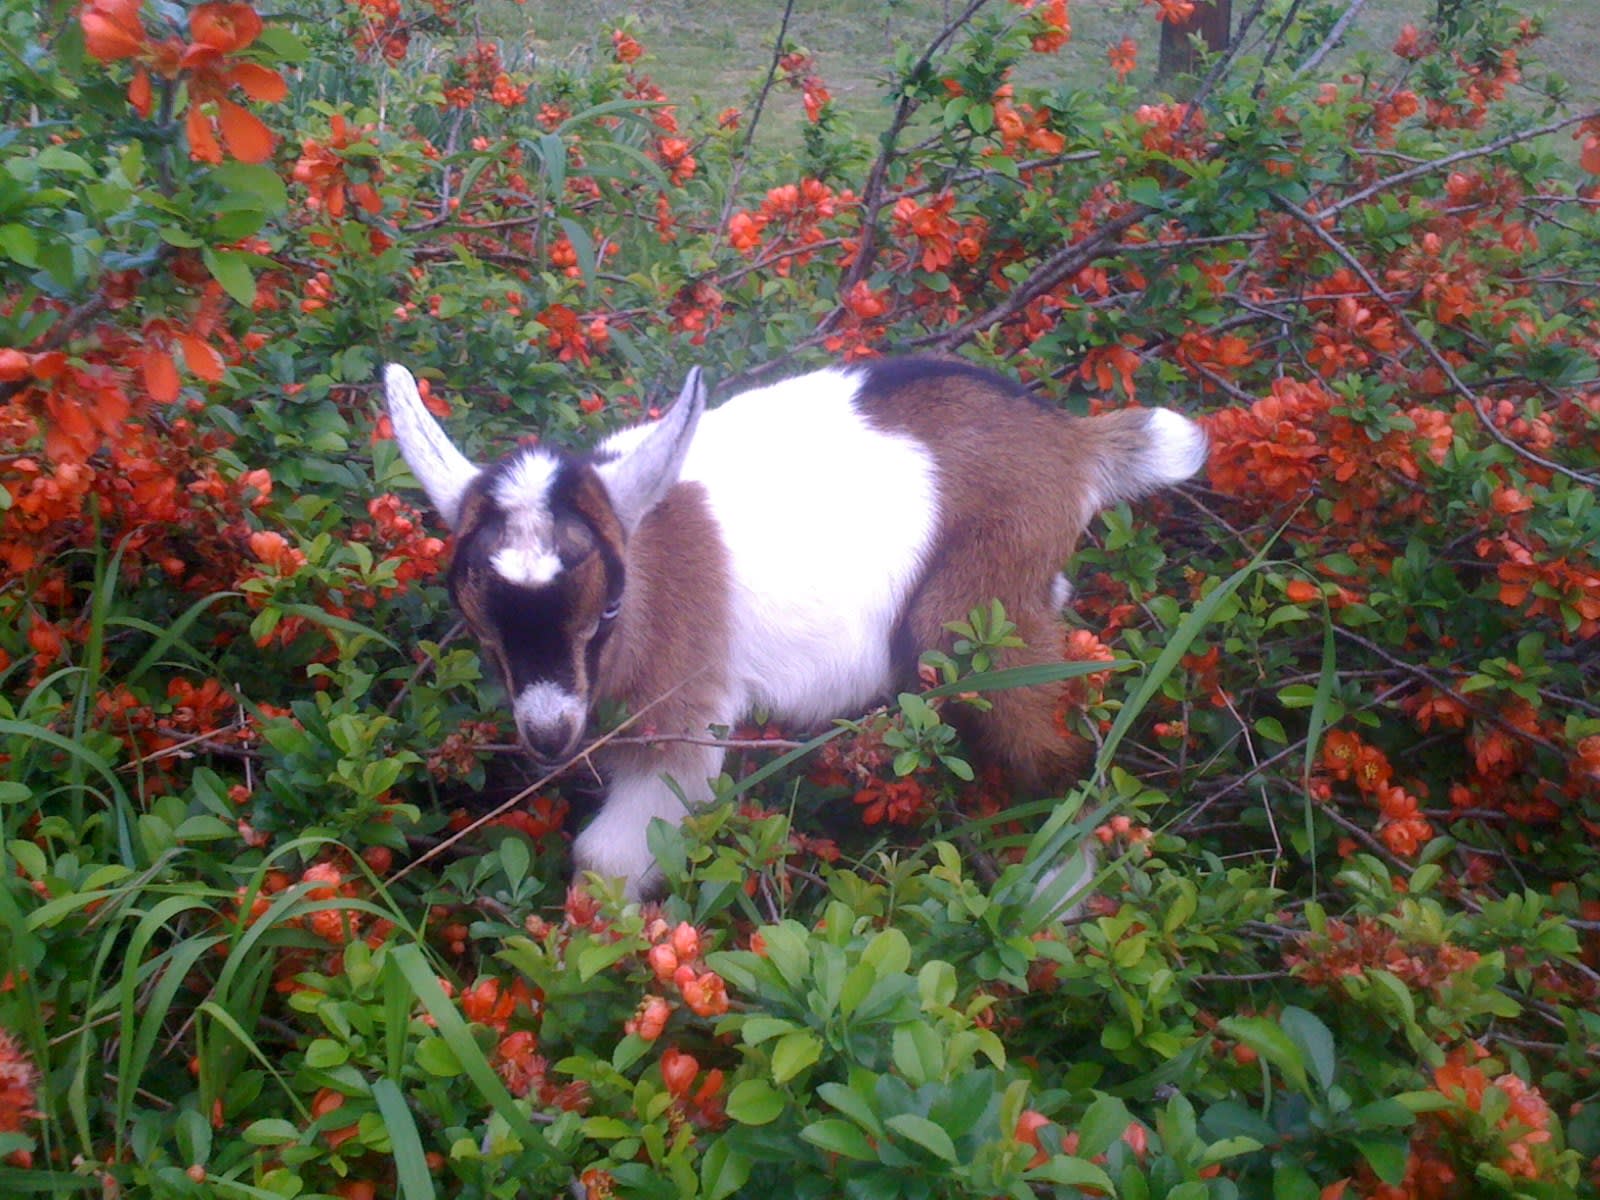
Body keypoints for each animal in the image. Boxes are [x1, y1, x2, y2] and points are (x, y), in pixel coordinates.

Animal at [383, 356, 1207, 898]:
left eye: (608, 607)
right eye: (480, 622)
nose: (550, 736)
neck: (650, 564)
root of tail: (1071, 444)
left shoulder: (687, 713)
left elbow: (608, 856)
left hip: (978, 615)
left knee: (1052, 747)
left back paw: (1053, 898)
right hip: (1028, 584)